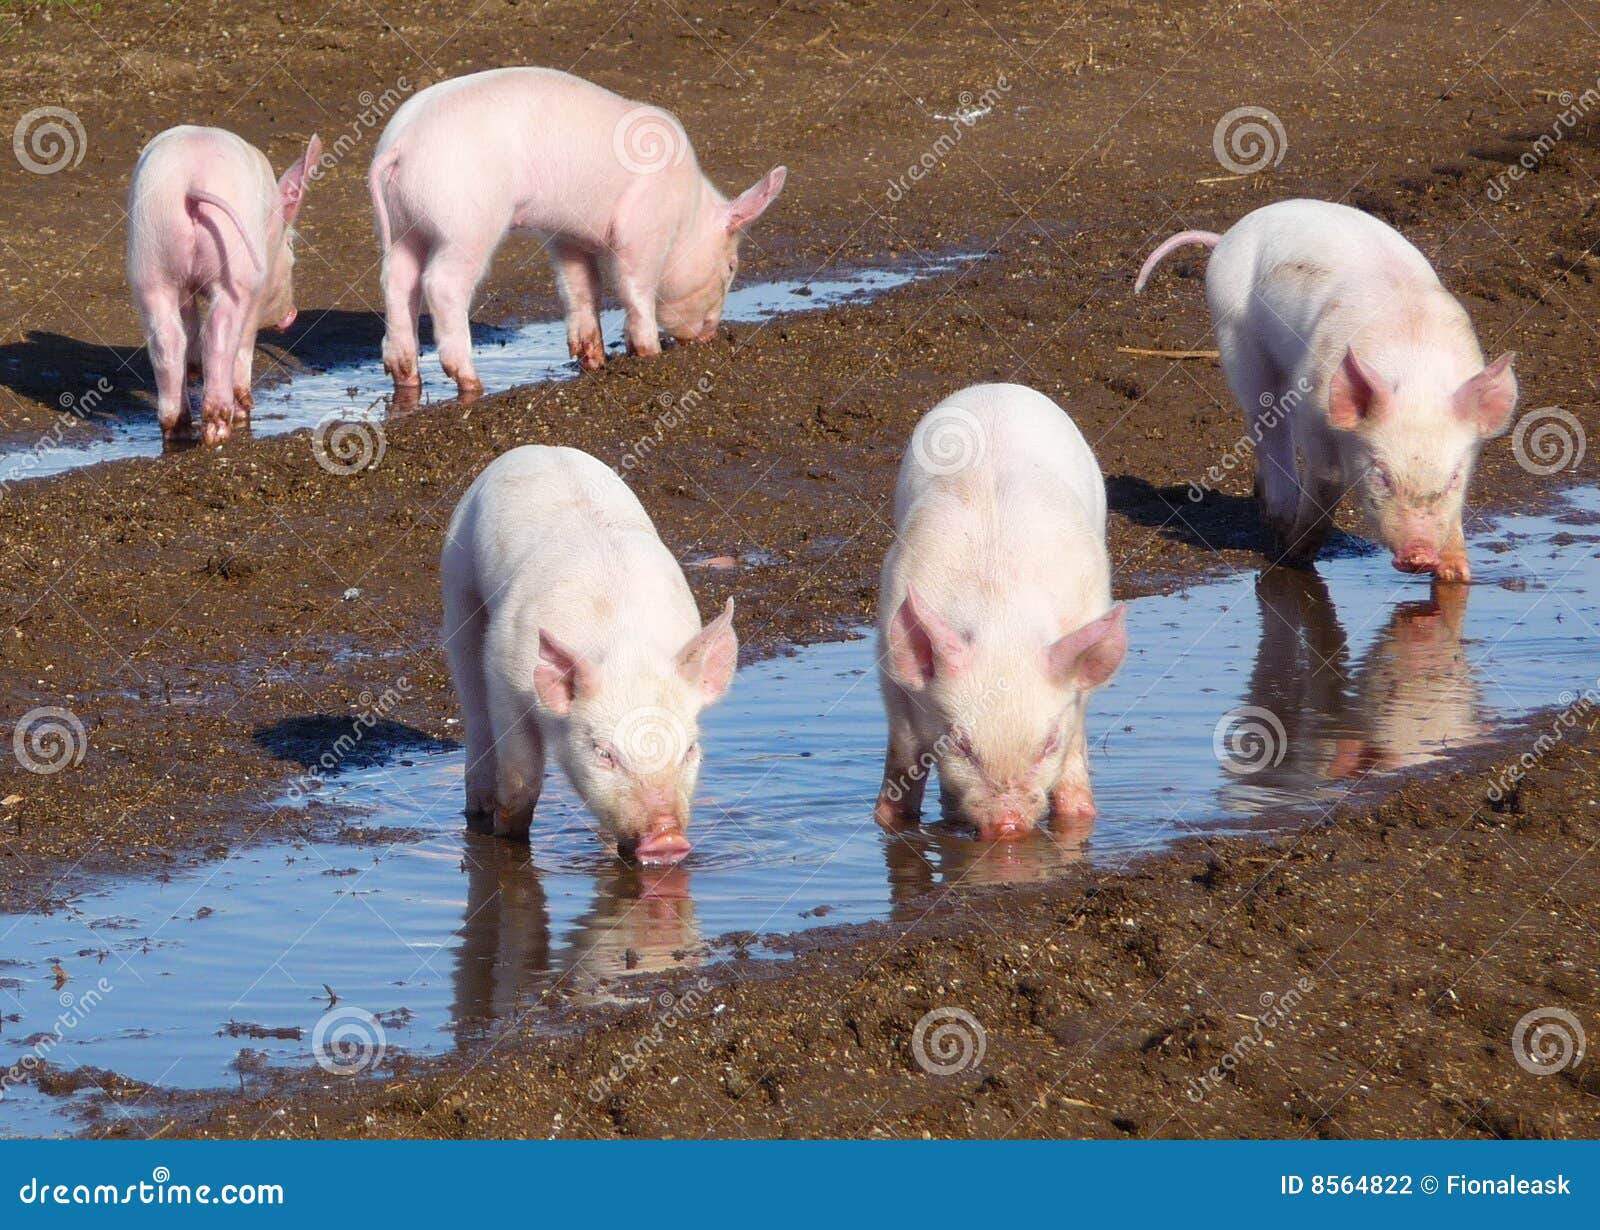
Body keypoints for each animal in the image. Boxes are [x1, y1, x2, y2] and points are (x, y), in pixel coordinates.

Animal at [126, 125, 321, 446]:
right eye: (291, 251)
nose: (292, 315)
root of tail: (192, 180)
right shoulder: (257, 289)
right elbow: (246, 336)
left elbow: (189, 320)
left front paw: (194, 371)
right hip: (236, 267)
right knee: (219, 332)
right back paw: (222, 428)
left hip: (150, 257)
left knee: (169, 339)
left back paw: (178, 430)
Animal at [368, 67, 787, 396]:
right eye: (731, 267)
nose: (710, 335)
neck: (688, 213)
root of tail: (400, 144)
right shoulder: (643, 230)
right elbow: (635, 290)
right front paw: (650, 355)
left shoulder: (568, 237)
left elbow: (581, 289)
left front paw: (594, 361)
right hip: (466, 222)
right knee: (441, 283)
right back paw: (473, 383)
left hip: (404, 226)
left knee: (397, 281)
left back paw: (406, 377)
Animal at [441, 445, 737, 864]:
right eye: (603, 753)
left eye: (690, 749)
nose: (667, 840)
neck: (624, 644)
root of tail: (537, 448)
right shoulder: (506, 676)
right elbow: (521, 780)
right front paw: (506, 839)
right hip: (456, 580)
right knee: (474, 706)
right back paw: (476, 812)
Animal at [876, 383, 1128, 841]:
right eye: (960, 744)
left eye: (1047, 745)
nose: (1006, 825)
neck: (1002, 619)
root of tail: (996, 389)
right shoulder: (890, 664)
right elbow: (903, 757)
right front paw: (892, 820)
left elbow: (1075, 749)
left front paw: (1078, 816)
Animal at [1136, 199, 1519, 581]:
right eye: (1380, 474)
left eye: (1453, 477)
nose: (1420, 556)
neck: (1416, 374)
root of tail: (1227, 236)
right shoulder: (1313, 405)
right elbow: (1326, 480)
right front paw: (1294, 556)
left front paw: (1457, 574)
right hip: (1233, 333)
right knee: (1265, 420)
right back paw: (1279, 525)